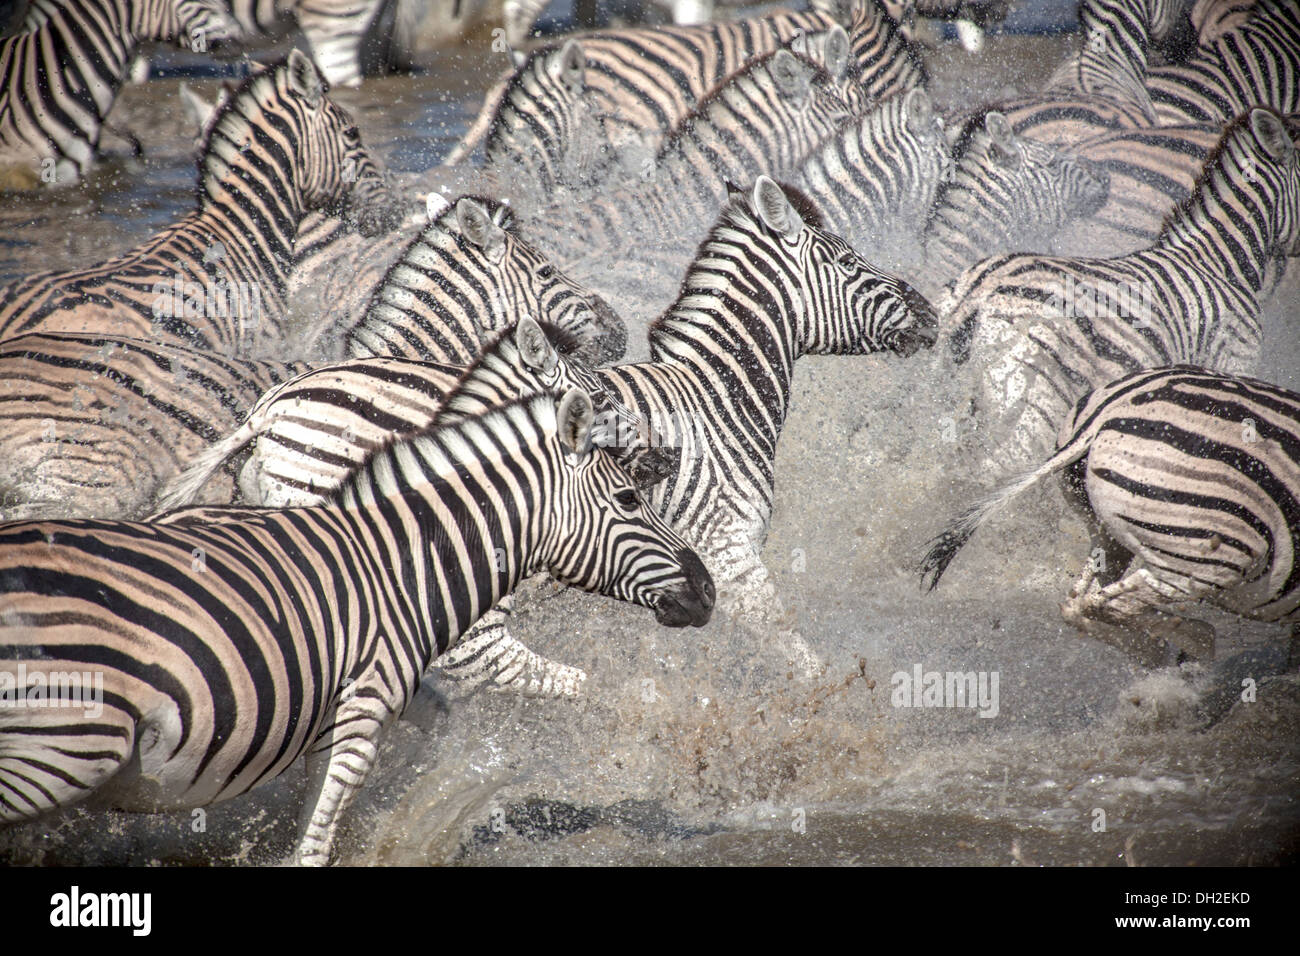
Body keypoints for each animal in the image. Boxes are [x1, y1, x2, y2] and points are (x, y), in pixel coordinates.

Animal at [0, 386, 715, 865]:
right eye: (629, 499)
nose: (707, 592)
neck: (397, 565)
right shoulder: (363, 708)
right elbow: (316, 843)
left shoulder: (354, 708)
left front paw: (420, 818)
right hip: (64, 743)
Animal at [921, 365, 1299, 666]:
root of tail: (1104, 413)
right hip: (1210, 551)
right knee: (1107, 602)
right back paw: (1191, 649)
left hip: (1110, 531)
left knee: (1080, 602)